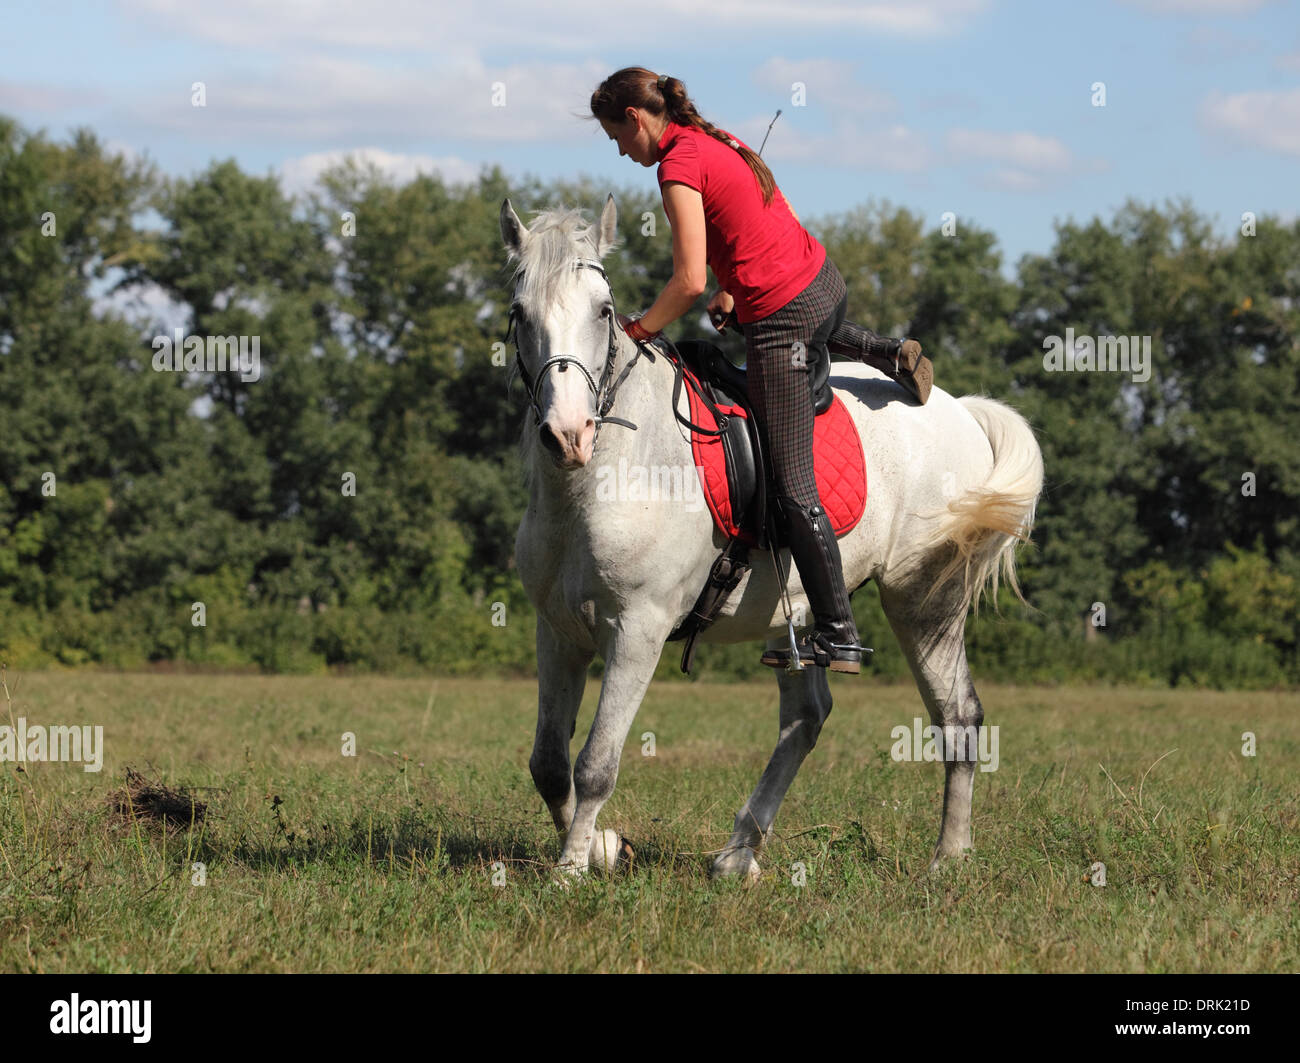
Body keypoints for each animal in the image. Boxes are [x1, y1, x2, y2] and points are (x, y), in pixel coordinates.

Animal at [499, 194, 1044, 880]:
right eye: (520, 314)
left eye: (601, 311)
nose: (567, 435)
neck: (598, 479)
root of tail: (961, 411)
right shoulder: (559, 629)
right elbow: (547, 762)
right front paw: (602, 846)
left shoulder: (638, 629)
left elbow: (596, 762)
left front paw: (571, 872)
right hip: (801, 610)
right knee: (806, 719)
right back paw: (739, 852)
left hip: (924, 601)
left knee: (957, 716)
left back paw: (948, 857)